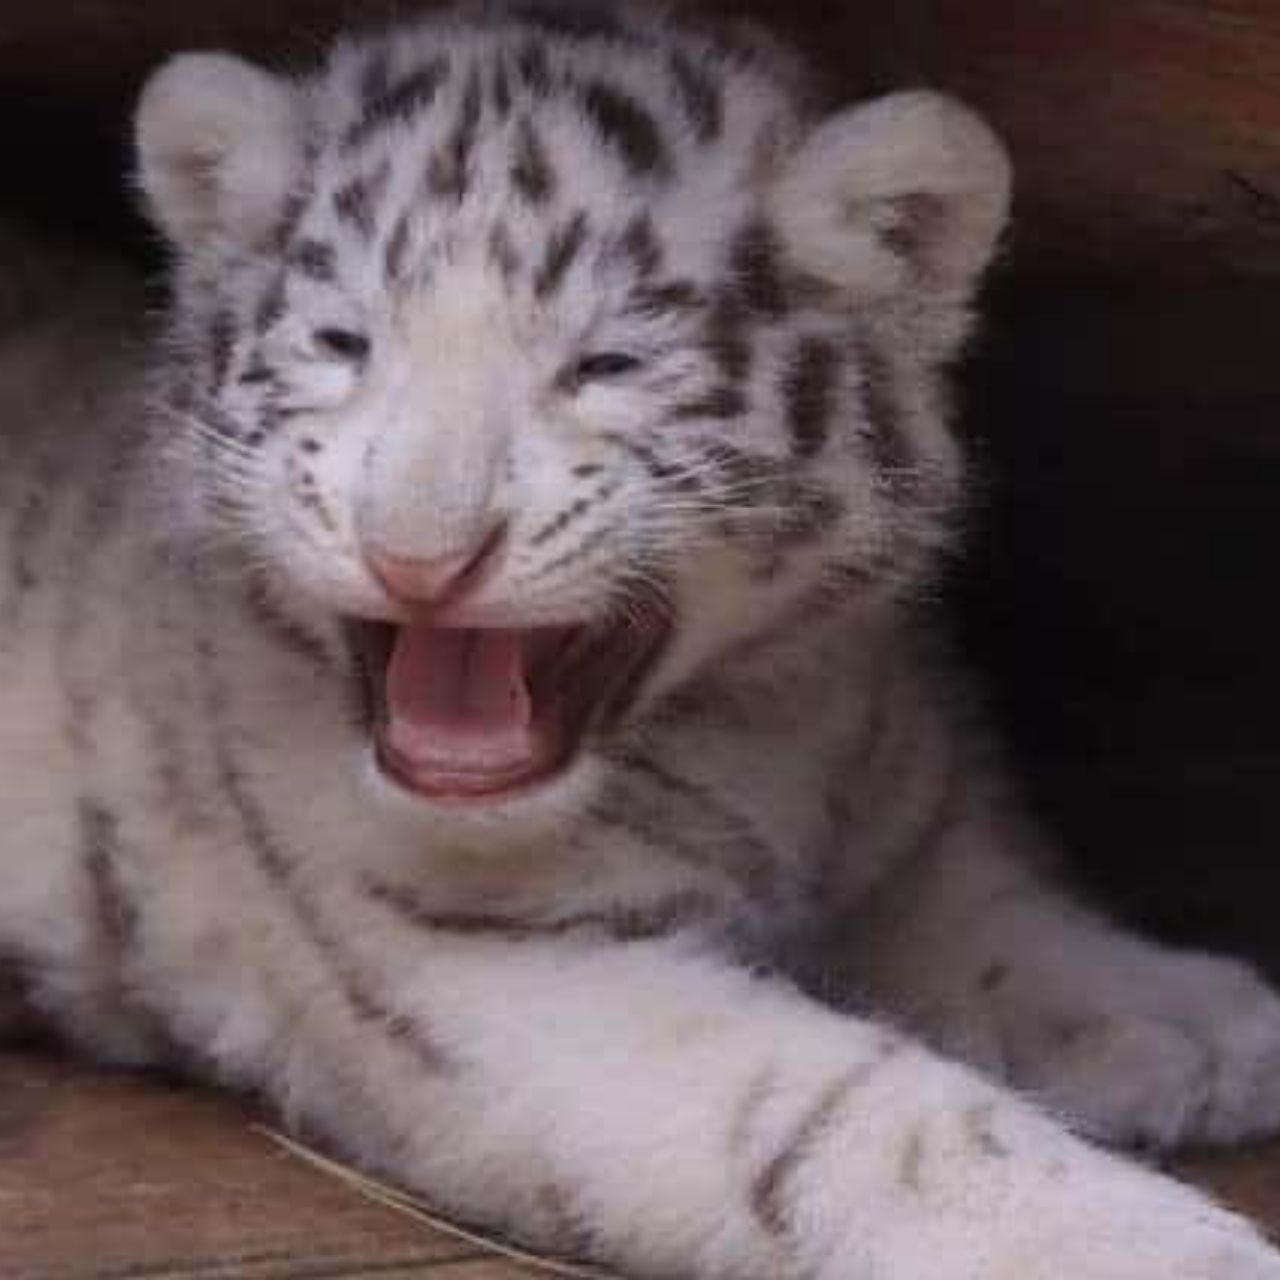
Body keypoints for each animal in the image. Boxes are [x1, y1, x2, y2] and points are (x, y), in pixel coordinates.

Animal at [3, 2, 1280, 1275]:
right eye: (341, 343)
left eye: (606, 364)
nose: (416, 555)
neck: (758, 718)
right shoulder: (484, 955)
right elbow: (847, 1116)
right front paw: (1159, 1242)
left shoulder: (902, 818)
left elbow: (1007, 927)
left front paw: (1204, 1019)